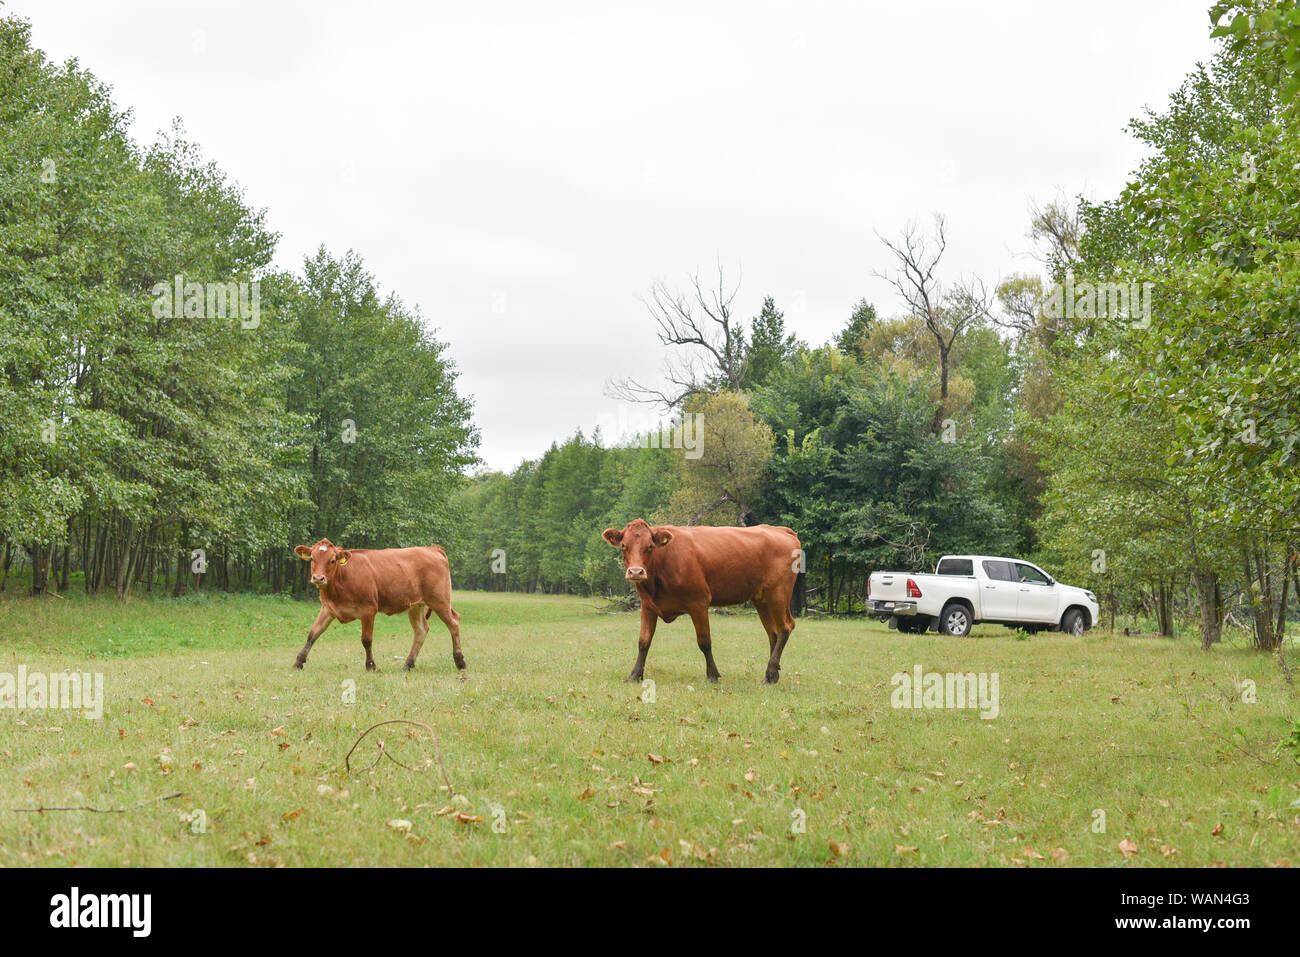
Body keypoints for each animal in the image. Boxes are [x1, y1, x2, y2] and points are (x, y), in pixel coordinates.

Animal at [292, 538, 464, 674]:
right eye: (312, 558)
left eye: (332, 560)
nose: (318, 578)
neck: (343, 578)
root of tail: (432, 549)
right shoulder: (328, 608)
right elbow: (313, 634)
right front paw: (298, 662)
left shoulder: (368, 609)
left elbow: (366, 640)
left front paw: (370, 666)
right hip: (416, 605)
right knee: (421, 630)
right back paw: (408, 665)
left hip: (439, 600)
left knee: (454, 623)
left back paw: (460, 661)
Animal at [601, 519, 801, 685]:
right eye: (624, 546)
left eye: (650, 546)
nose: (636, 572)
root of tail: (780, 530)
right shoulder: (648, 605)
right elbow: (643, 641)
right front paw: (634, 675)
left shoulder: (699, 602)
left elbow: (704, 641)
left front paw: (713, 675)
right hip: (761, 599)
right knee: (773, 633)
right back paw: (772, 675)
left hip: (778, 593)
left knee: (785, 628)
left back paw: (770, 671)